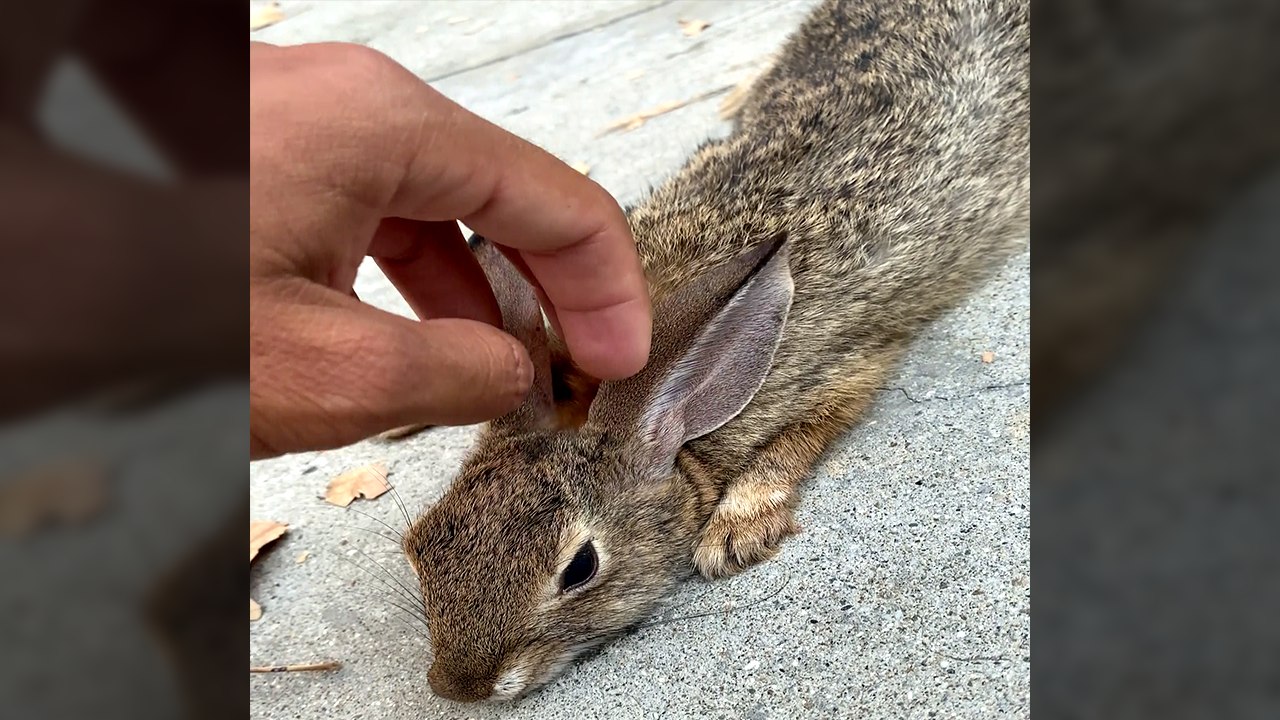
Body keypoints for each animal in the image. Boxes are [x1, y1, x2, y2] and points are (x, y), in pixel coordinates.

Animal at [401, 0, 1029, 703]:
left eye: (580, 566)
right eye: (420, 543)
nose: (459, 686)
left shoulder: (839, 362)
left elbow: (807, 429)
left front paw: (733, 532)